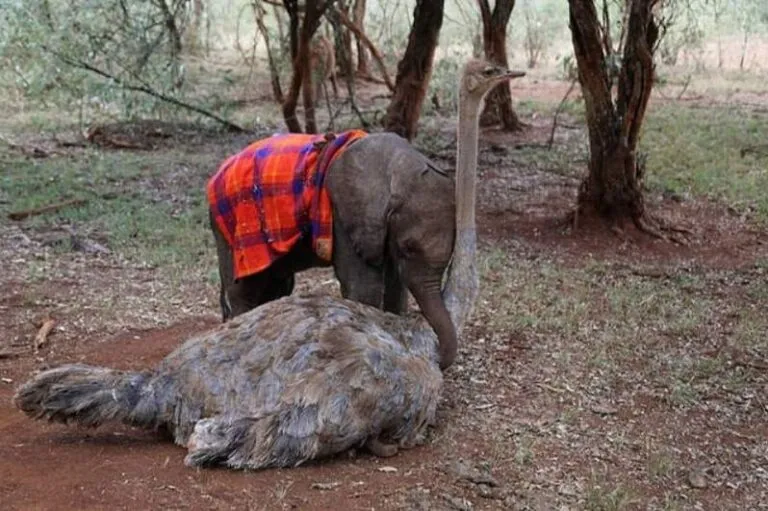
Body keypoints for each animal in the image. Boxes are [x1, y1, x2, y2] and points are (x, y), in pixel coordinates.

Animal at [210, 132, 456, 368]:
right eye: (408, 248)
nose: (438, 358)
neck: (399, 165)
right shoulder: (344, 217)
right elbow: (364, 288)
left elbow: (395, 287)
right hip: (231, 229)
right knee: (245, 290)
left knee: (277, 287)